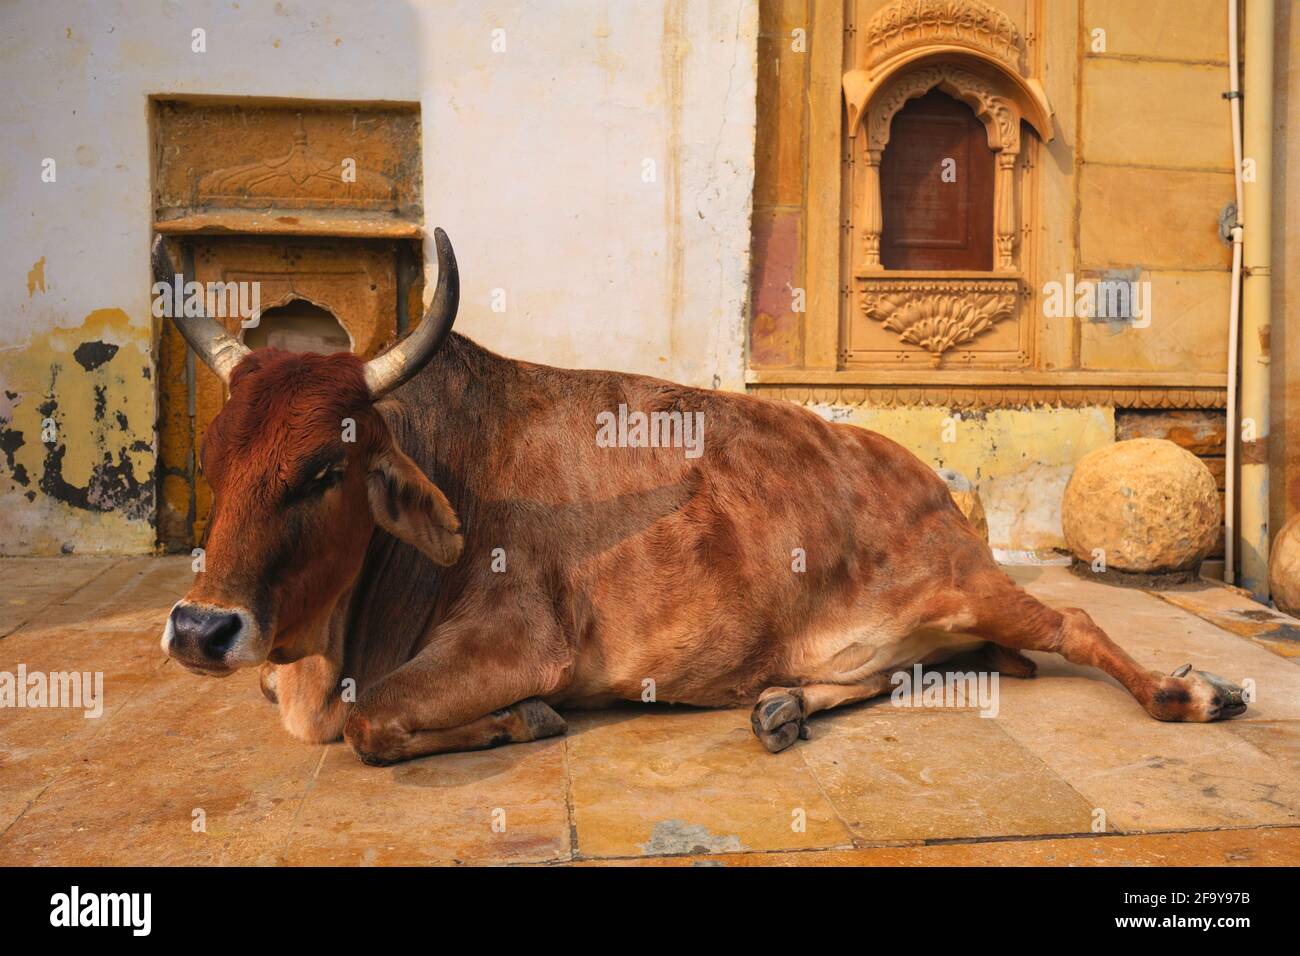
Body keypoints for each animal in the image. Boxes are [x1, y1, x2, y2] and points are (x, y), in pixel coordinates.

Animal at [156, 230, 1247, 766]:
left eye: (325, 470)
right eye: (215, 457)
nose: (201, 627)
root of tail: (926, 480)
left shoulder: (518, 643)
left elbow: (371, 723)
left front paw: (527, 722)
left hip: (975, 589)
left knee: (1073, 623)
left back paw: (1189, 690)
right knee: (894, 669)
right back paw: (779, 709)